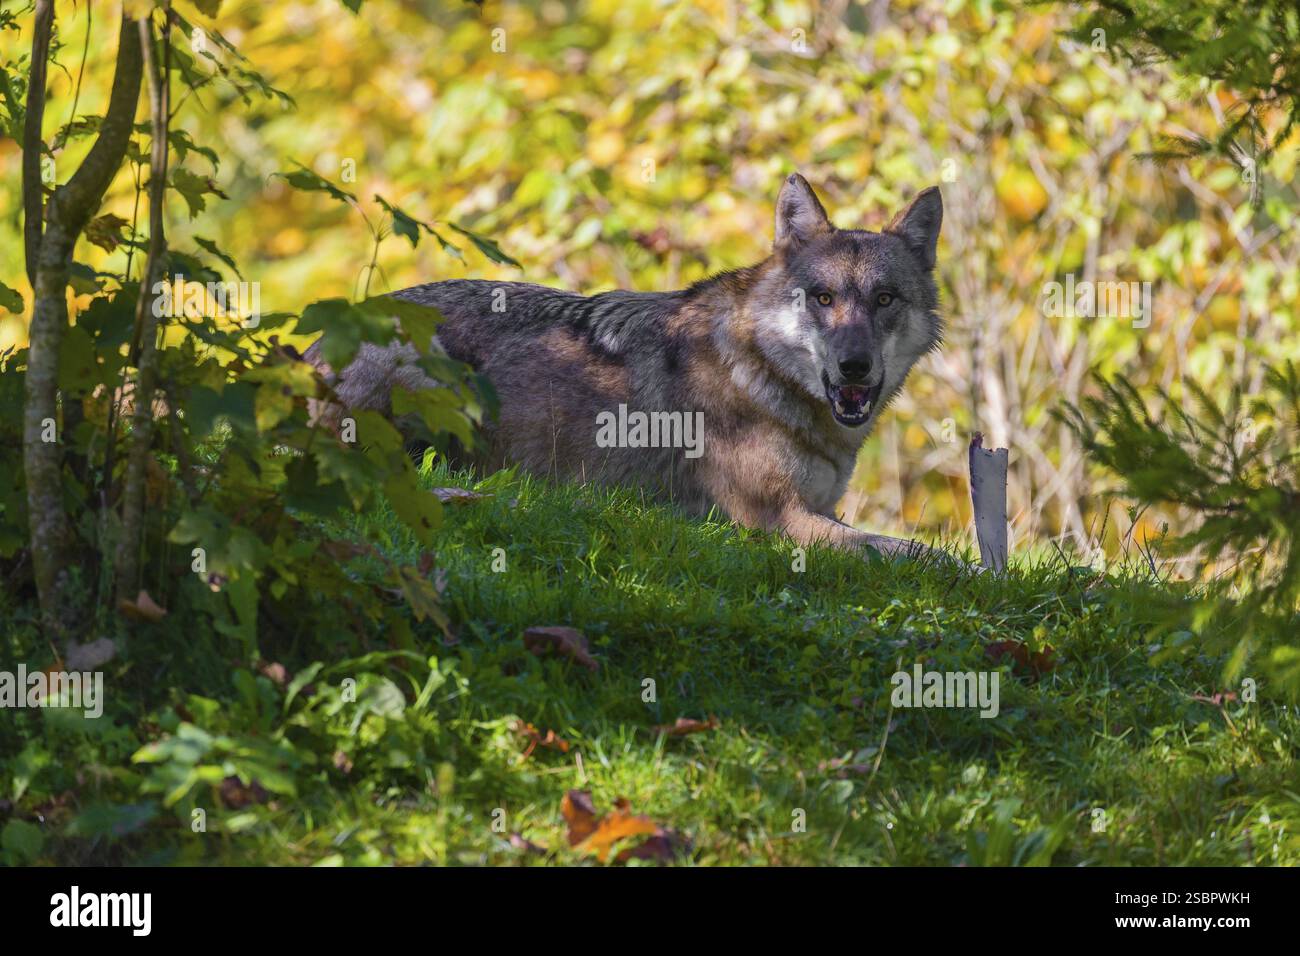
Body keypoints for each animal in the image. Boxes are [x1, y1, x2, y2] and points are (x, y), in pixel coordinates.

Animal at [306, 174, 945, 558]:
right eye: (823, 298)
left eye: (884, 299)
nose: (855, 367)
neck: (759, 371)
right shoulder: (776, 519)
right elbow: (912, 551)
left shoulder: (820, 507)